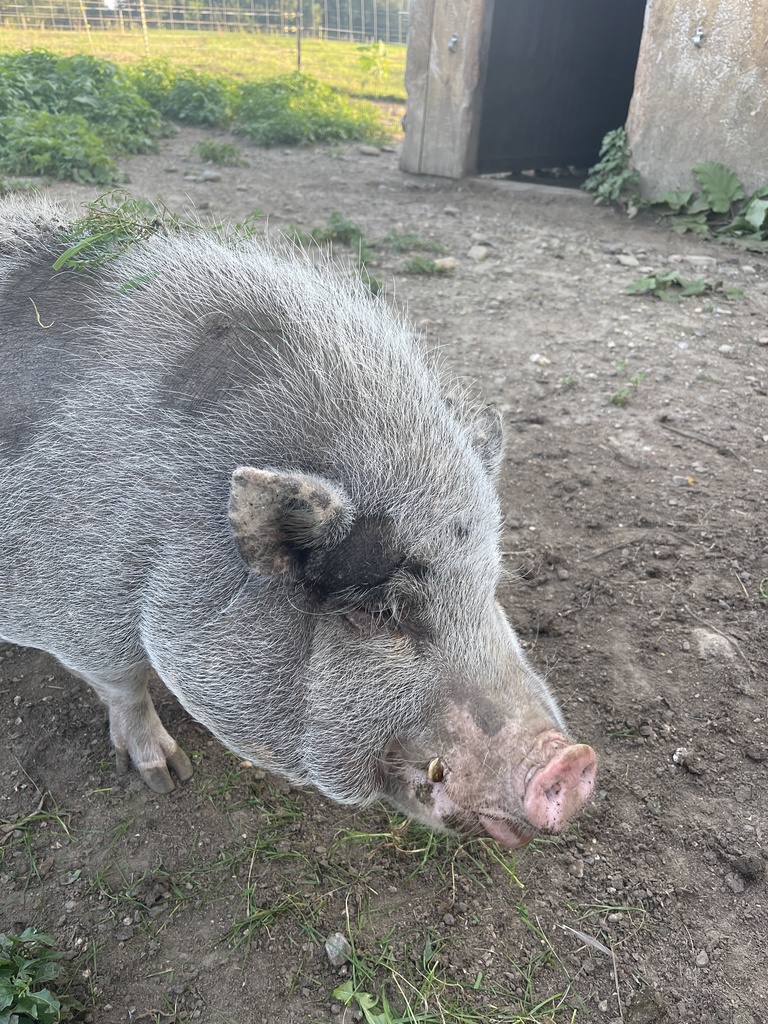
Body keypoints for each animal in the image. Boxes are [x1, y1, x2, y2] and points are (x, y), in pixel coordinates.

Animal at [0, 195, 595, 849]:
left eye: (487, 586)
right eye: (380, 613)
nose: (572, 763)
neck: (172, 533)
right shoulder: (74, 600)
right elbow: (122, 685)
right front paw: (168, 777)